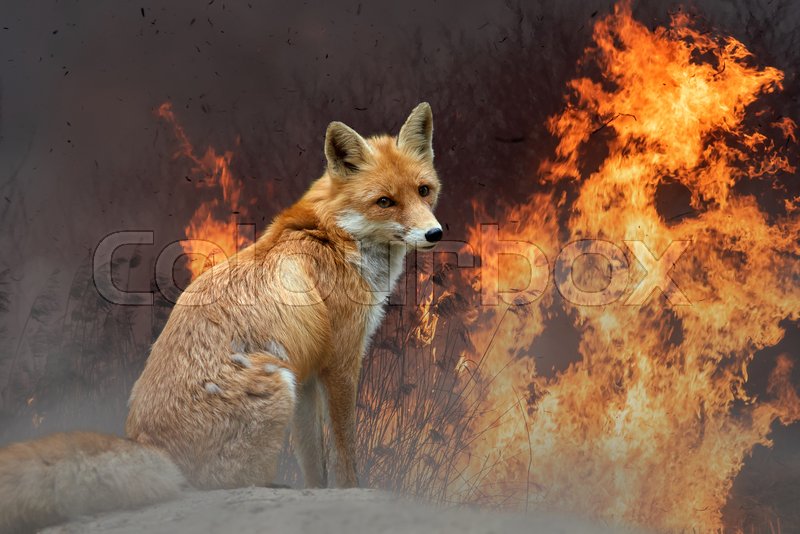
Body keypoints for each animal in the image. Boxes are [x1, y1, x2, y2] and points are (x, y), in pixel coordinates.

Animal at [0, 102, 442, 532]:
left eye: (424, 191)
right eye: (385, 201)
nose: (435, 234)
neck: (333, 237)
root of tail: (149, 444)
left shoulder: (308, 373)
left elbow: (313, 461)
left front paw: (316, 495)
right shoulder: (340, 364)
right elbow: (345, 452)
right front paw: (351, 493)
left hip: (288, 381)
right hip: (277, 385)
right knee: (226, 486)